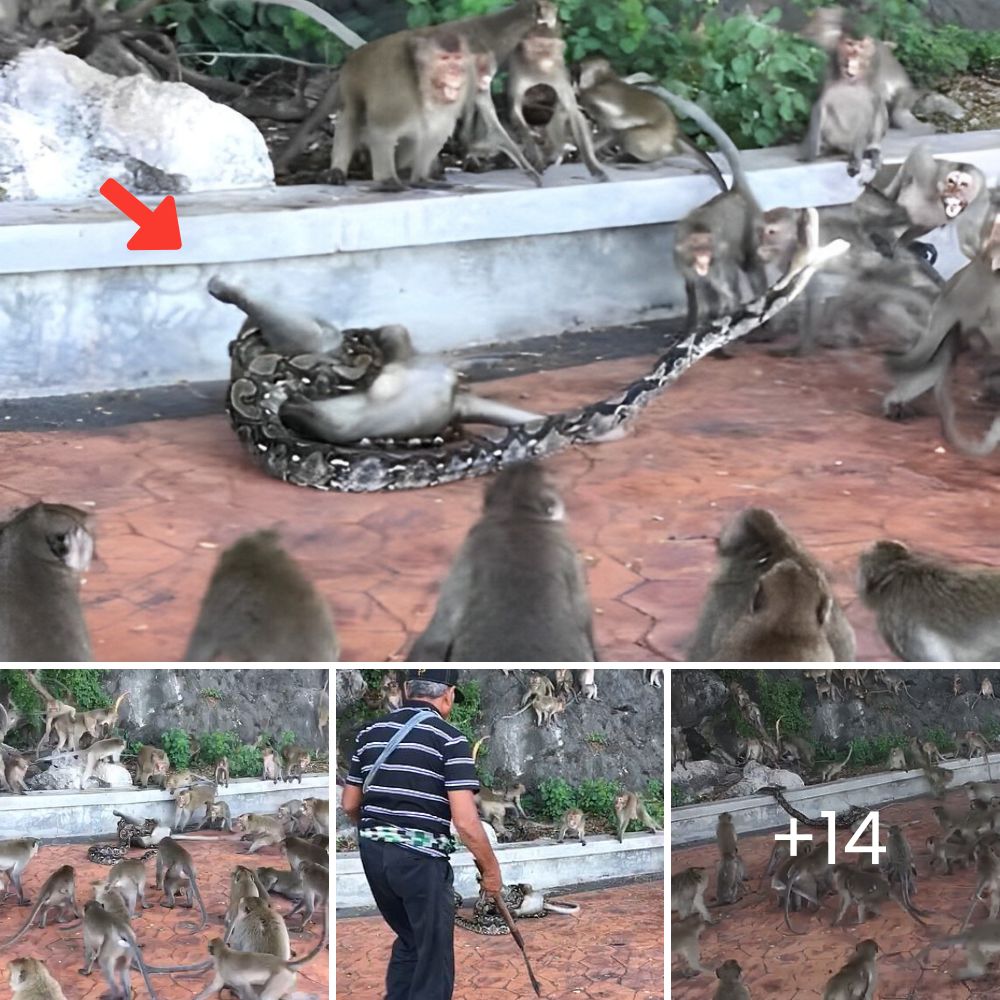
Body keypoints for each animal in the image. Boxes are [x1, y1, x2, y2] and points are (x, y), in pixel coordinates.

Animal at [506, 23, 607, 181]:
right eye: (539, 48)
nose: (549, 56)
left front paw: (592, 165)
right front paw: (536, 161)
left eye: (549, 47)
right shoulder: (520, 76)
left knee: (560, 114)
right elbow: (516, 114)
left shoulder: (557, 76)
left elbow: (572, 112)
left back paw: (558, 151)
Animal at [574, 56, 725, 188]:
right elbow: (610, 131)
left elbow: (612, 126)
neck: (604, 79)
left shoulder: (593, 97)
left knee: (631, 136)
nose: (573, 70)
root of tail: (674, 129)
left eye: (578, 69)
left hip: (657, 137)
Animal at [801, 29, 888, 177]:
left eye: (860, 47)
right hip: (835, 137)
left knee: (879, 108)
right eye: (849, 44)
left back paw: (871, 152)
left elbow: (871, 107)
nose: (854, 52)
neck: (850, 80)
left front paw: (858, 158)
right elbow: (820, 105)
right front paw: (810, 151)